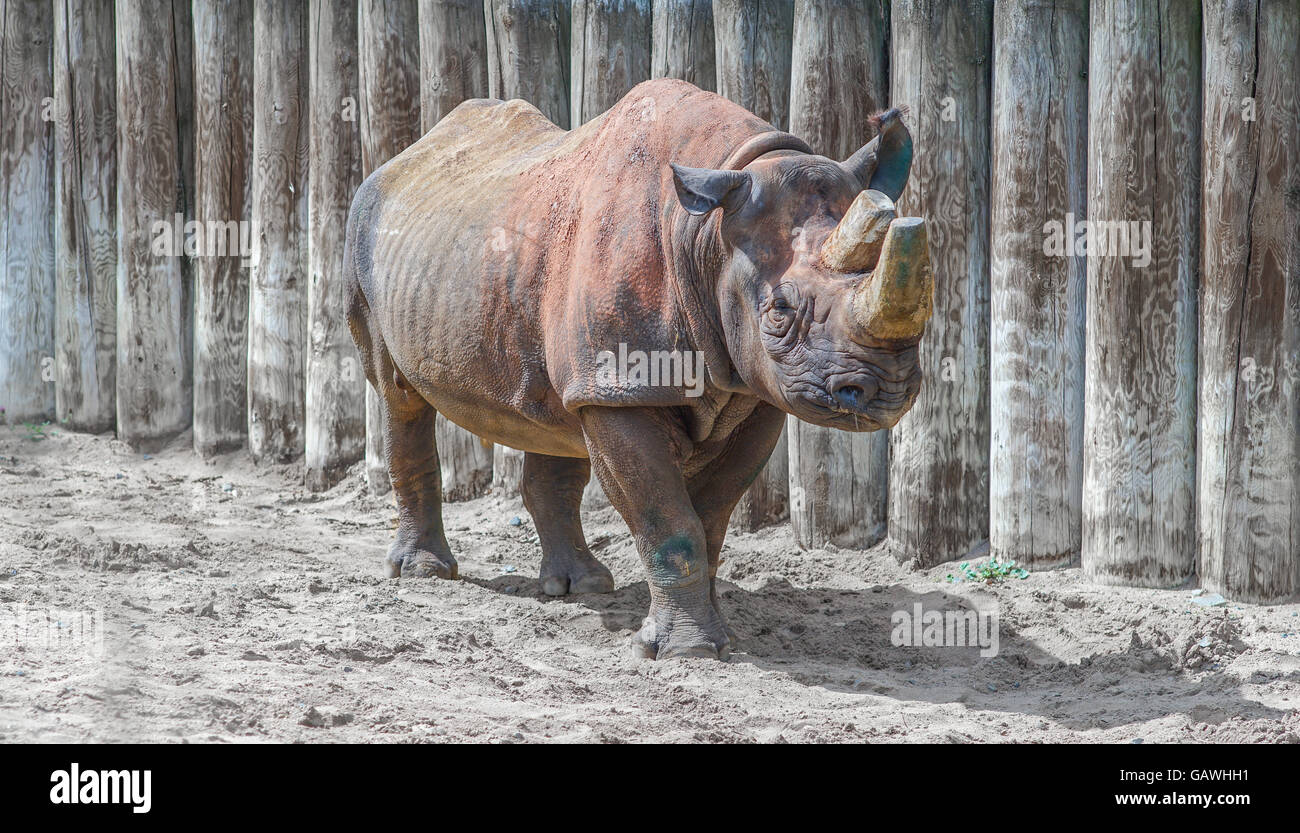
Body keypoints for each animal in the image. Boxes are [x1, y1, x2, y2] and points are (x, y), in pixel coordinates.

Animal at [346, 79, 932, 660]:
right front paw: (685, 651)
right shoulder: (623, 390)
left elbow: (709, 520)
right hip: (367, 231)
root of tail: (406, 156)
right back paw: (424, 573)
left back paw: (581, 587)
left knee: (553, 414)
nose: (885, 392)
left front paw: (716, 636)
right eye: (779, 311)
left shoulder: (754, 390)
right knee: (399, 397)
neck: (706, 235)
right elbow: (668, 523)